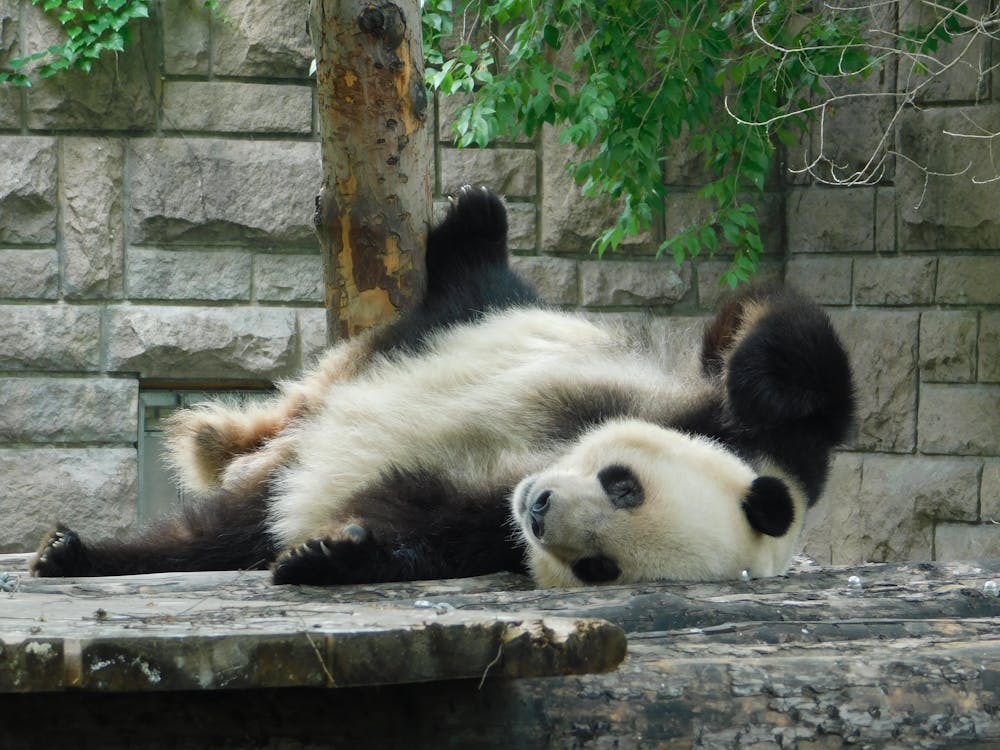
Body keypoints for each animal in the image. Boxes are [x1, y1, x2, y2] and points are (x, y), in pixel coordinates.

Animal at [31, 186, 855, 587]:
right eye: (625, 486)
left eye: (600, 567)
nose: (541, 508)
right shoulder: (741, 428)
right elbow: (782, 346)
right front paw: (762, 379)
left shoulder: (483, 525)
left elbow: (423, 528)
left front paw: (328, 557)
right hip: (474, 321)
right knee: (477, 283)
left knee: (222, 531)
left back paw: (82, 554)